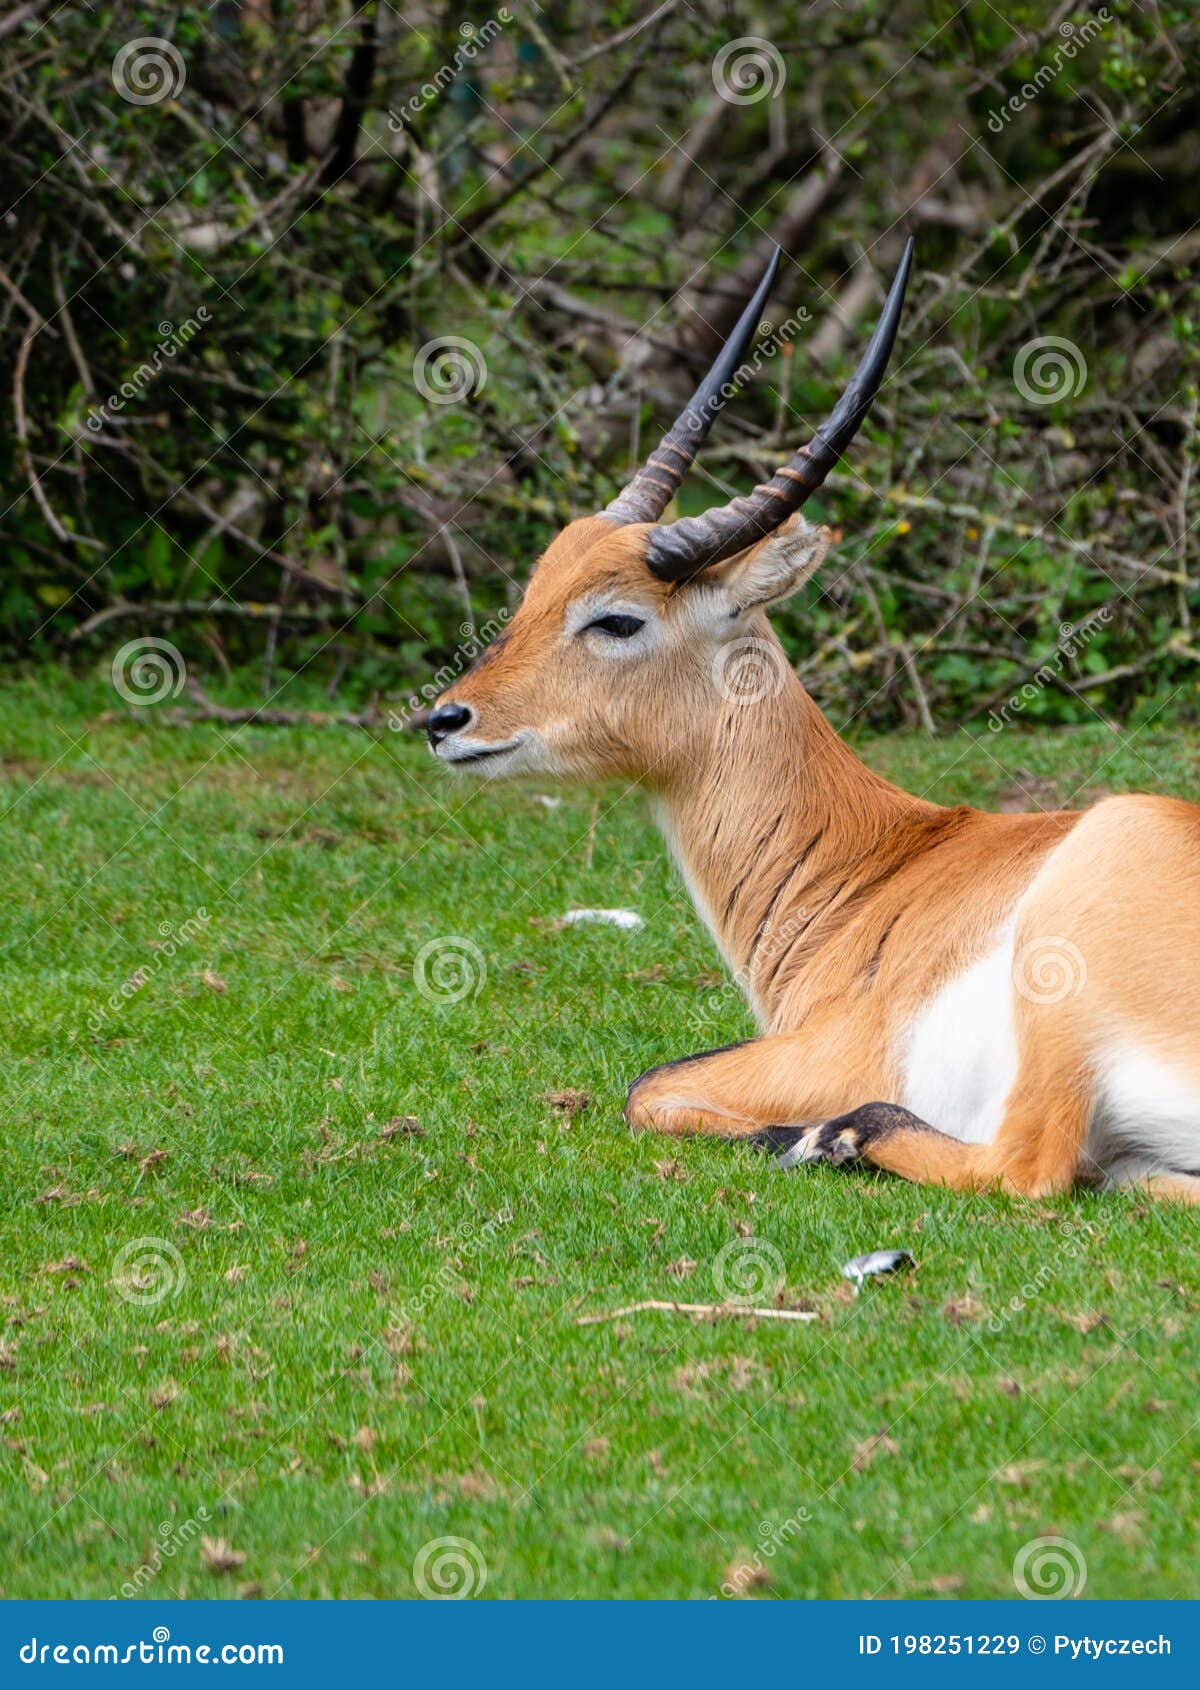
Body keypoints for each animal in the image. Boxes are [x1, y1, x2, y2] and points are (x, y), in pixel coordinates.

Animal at [426, 238, 1200, 1206]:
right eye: (537, 588)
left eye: (615, 618)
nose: (445, 718)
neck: (875, 868)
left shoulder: (825, 1053)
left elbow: (649, 1087)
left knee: (1027, 1169)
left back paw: (829, 1137)